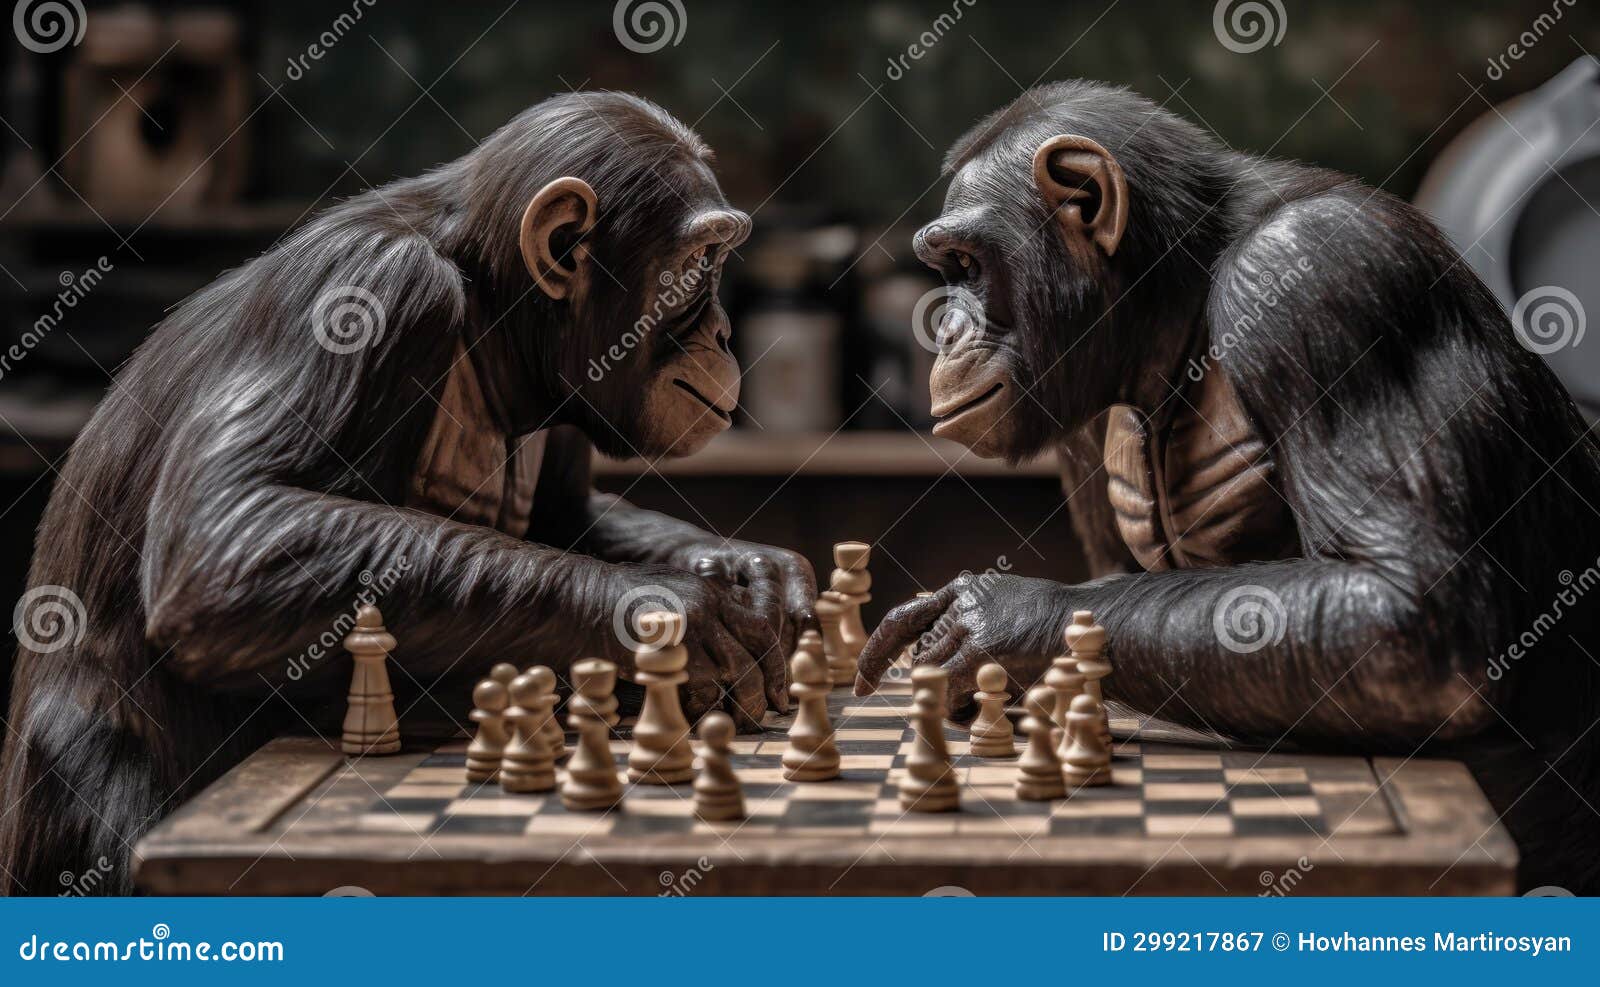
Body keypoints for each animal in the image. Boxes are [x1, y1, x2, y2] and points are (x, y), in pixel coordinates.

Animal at [0, 92, 818, 895]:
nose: (723, 331)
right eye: (701, 260)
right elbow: (226, 543)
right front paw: (679, 612)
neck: (489, 315)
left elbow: (568, 517)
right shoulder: (372, 289)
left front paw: (755, 572)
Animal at [857, 81, 1600, 893]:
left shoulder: (1323, 276)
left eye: (966, 261)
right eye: (944, 266)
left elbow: (1408, 609)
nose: (945, 329)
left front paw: (1002, 618)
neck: (1177, 310)